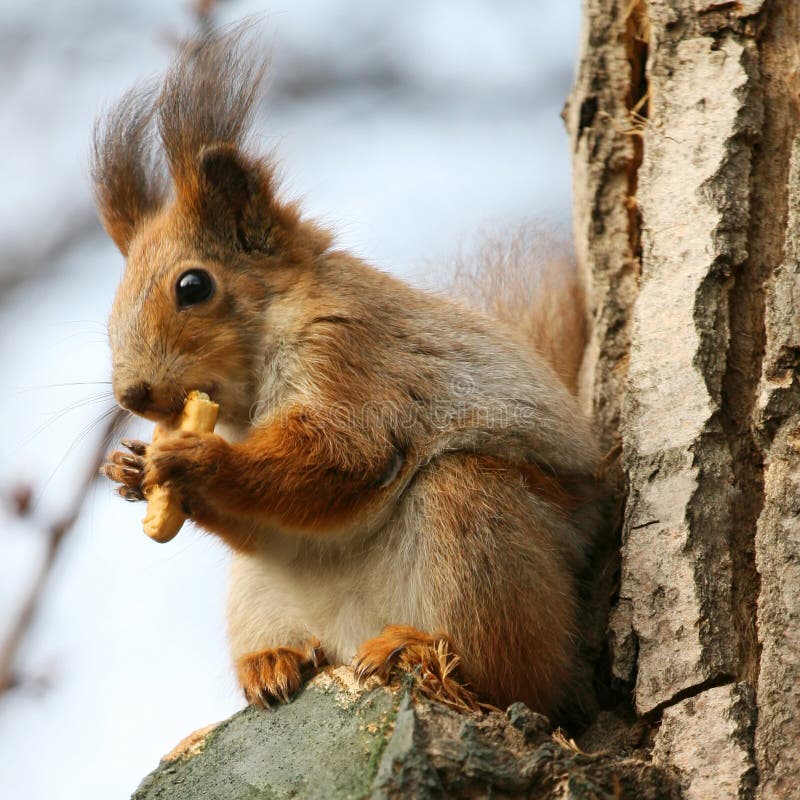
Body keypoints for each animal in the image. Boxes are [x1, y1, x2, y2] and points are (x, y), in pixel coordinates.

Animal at [96, 27, 606, 720]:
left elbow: (341, 454)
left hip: (477, 521)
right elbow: (265, 521)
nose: (134, 394)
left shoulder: (350, 353)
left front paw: (196, 461)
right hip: (258, 594)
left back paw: (419, 652)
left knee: (514, 678)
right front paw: (127, 469)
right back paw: (272, 662)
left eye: (193, 286)